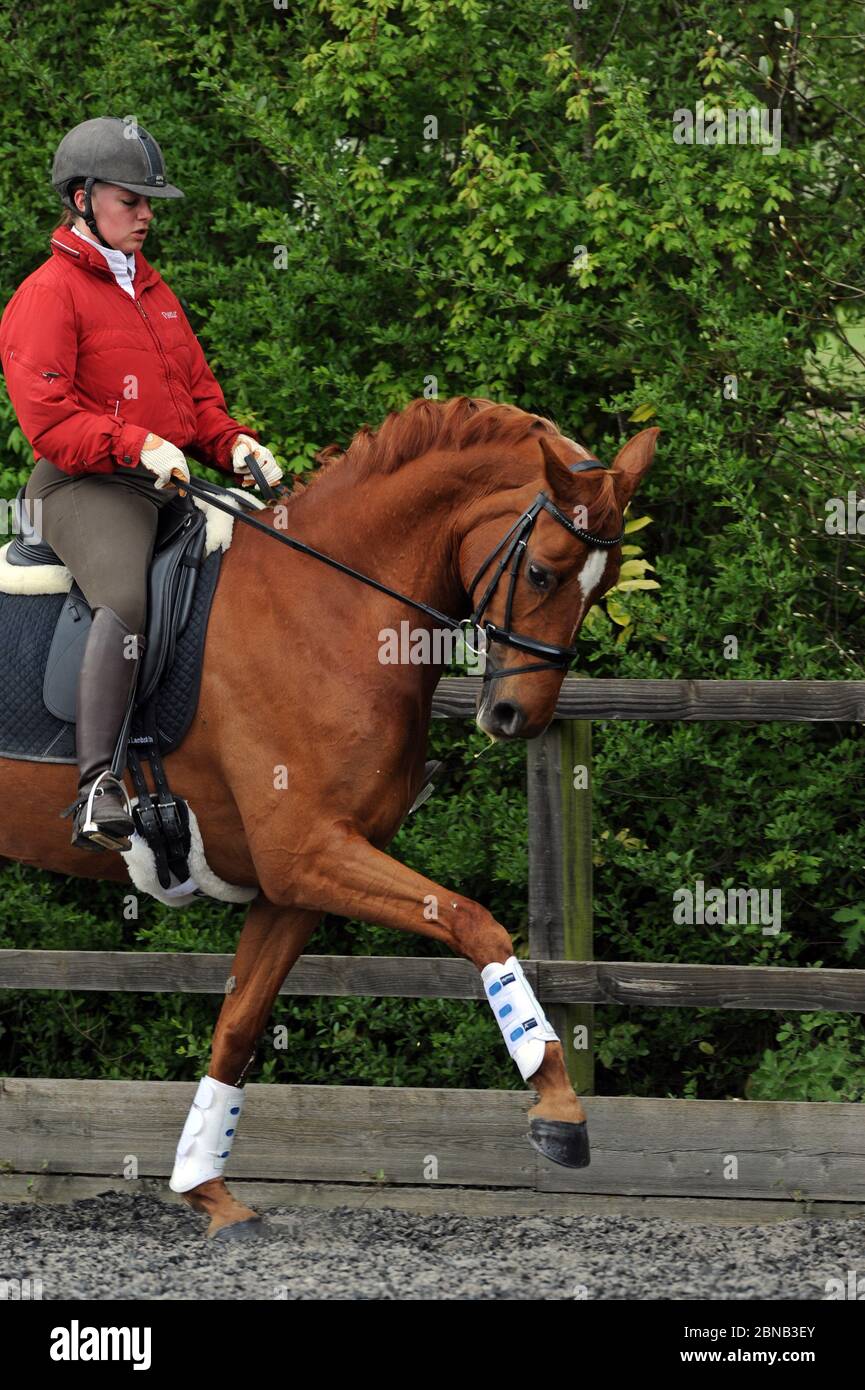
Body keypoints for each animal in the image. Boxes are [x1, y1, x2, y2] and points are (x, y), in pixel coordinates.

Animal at [0, 395, 657, 1237]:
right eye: (542, 570)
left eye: (599, 591)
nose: (516, 717)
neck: (326, 606)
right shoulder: (309, 853)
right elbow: (475, 923)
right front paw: (558, 1108)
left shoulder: (295, 885)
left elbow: (240, 1024)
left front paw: (208, 1191)